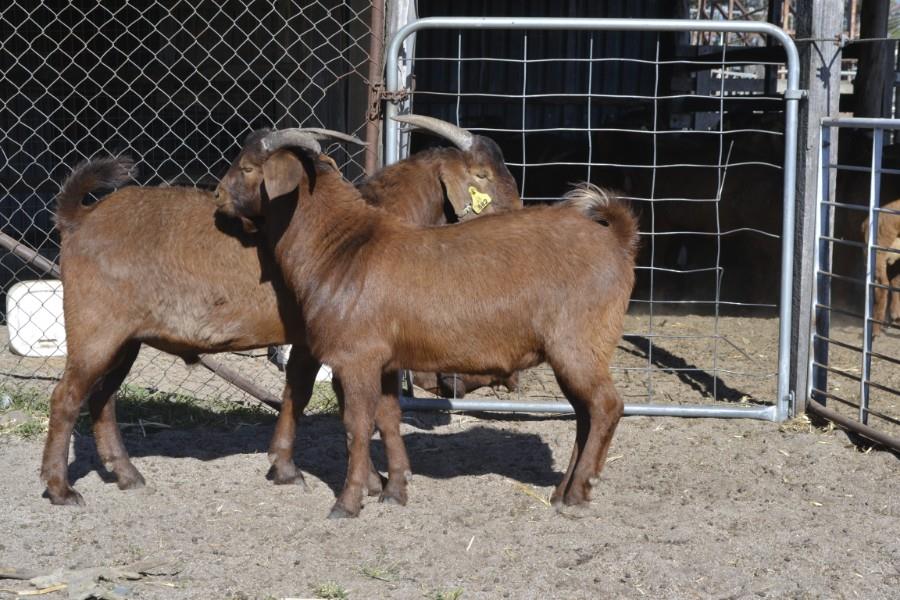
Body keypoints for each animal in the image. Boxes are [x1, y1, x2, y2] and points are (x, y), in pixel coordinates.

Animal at [41, 118, 520, 506]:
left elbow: (301, 394)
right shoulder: (332, 341)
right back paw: (61, 489)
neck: (359, 227)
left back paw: (126, 474)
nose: (517, 216)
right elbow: (326, 400)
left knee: (101, 398)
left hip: (127, 339)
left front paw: (292, 469)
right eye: (482, 176)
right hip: (96, 328)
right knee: (67, 397)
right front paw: (361, 480)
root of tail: (79, 219)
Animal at [214, 123, 639, 518]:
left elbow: (356, 425)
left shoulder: (356, 357)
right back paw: (563, 492)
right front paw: (394, 490)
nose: (217, 198)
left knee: (606, 405)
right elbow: (388, 418)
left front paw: (348, 502)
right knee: (585, 413)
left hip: (579, 343)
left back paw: (578, 493)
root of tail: (616, 241)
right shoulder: (384, 360)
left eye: (248, 167)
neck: (342, 249)